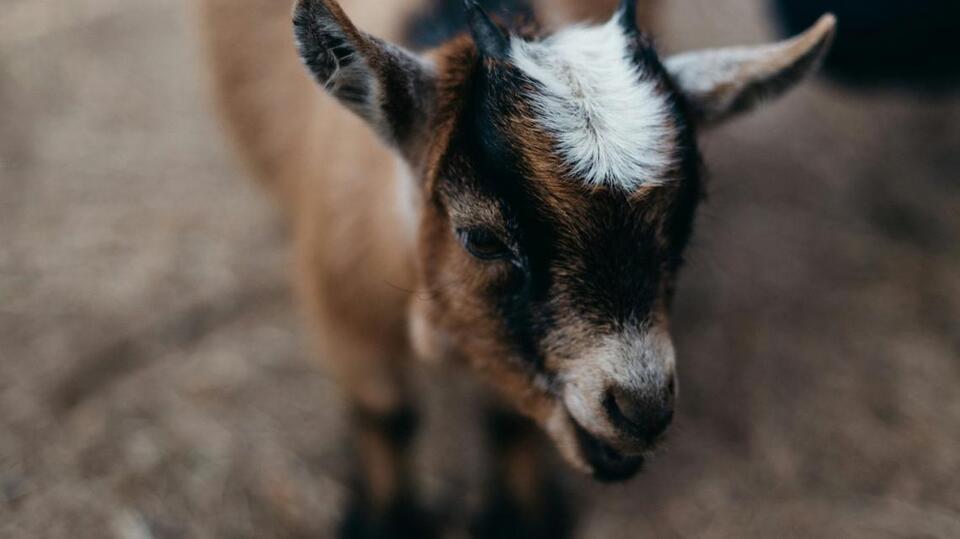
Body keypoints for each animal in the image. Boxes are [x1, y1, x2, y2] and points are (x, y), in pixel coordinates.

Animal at [197, 0, 835, 535]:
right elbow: (388, 415)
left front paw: (518, 520)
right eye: (480, 238)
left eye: (687, 220)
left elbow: (507, 421)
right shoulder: (343, 310)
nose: (643, 410)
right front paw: (389, 523)